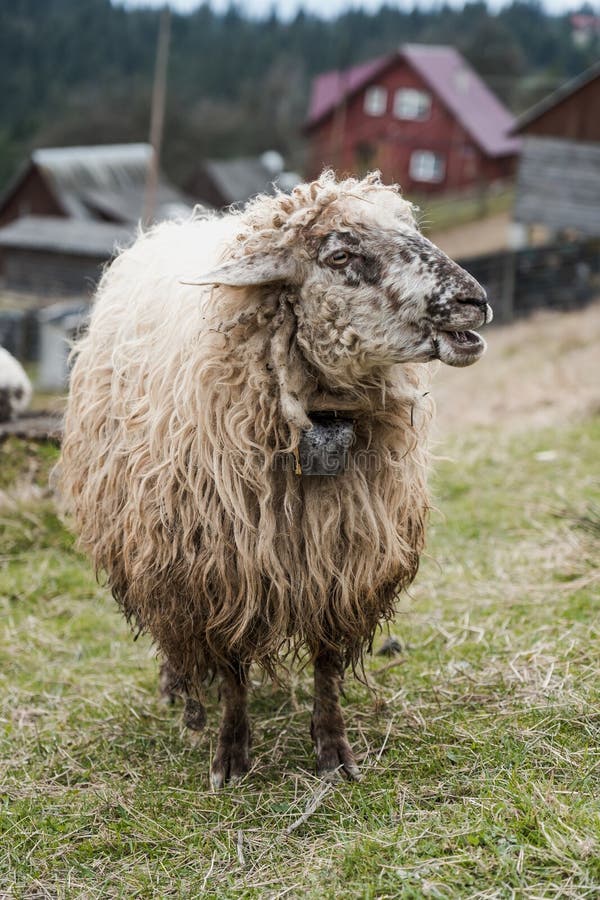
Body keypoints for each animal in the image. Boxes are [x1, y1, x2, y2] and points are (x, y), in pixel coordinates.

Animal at [59, 171, 492, 787]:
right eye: (339, 255)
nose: (473, 303)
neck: (312, 423)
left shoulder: (343, 558)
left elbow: (328, 666)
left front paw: (334, 752)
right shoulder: (218, 568)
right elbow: (232, 671)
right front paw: (230, 757)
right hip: (150, 547)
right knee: (172, 631)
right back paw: (180, 691)